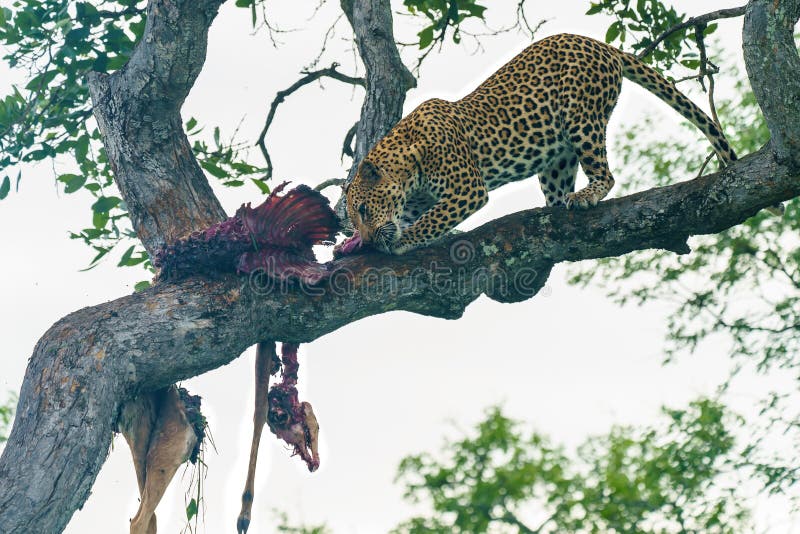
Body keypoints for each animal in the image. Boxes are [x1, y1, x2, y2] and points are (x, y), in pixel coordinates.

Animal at [344, 33, 738, 254]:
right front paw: (353, 244)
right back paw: (555, 207)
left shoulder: (466, 190)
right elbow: (414, 215)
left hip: (582, 117)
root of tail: (601, 44)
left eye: (363, 209)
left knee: (605, 174)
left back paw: (586, 195)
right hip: (556, 156)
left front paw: (402, 241)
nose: (366, 240)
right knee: (557, 191)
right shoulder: (417, 199)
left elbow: (431, 220)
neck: (406, 163)